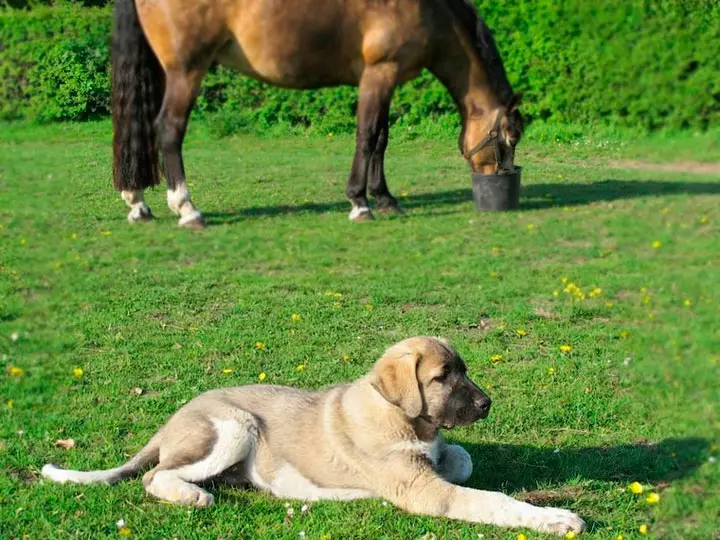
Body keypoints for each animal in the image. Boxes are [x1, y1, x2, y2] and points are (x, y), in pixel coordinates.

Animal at [42, 338, 584, 536]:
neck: (402, 418)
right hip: (234, 426)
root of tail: (174, 418)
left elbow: (463, 459)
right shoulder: (423, 491)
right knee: (155, 476)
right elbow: (490, 499)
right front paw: (557, 518)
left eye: (464, 370)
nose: (487, 403)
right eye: (442, 376)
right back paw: (194, 495)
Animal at [114, 0, 524, 226]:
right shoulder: (379, 72)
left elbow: (382, 138)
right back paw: (187, 209)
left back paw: (139, 203)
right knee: (169, 129)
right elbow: (367, 135)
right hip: (187, 71)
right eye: (510, 137)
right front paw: (360, 202)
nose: (501, 190)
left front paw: (385, 199)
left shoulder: (385, 78)